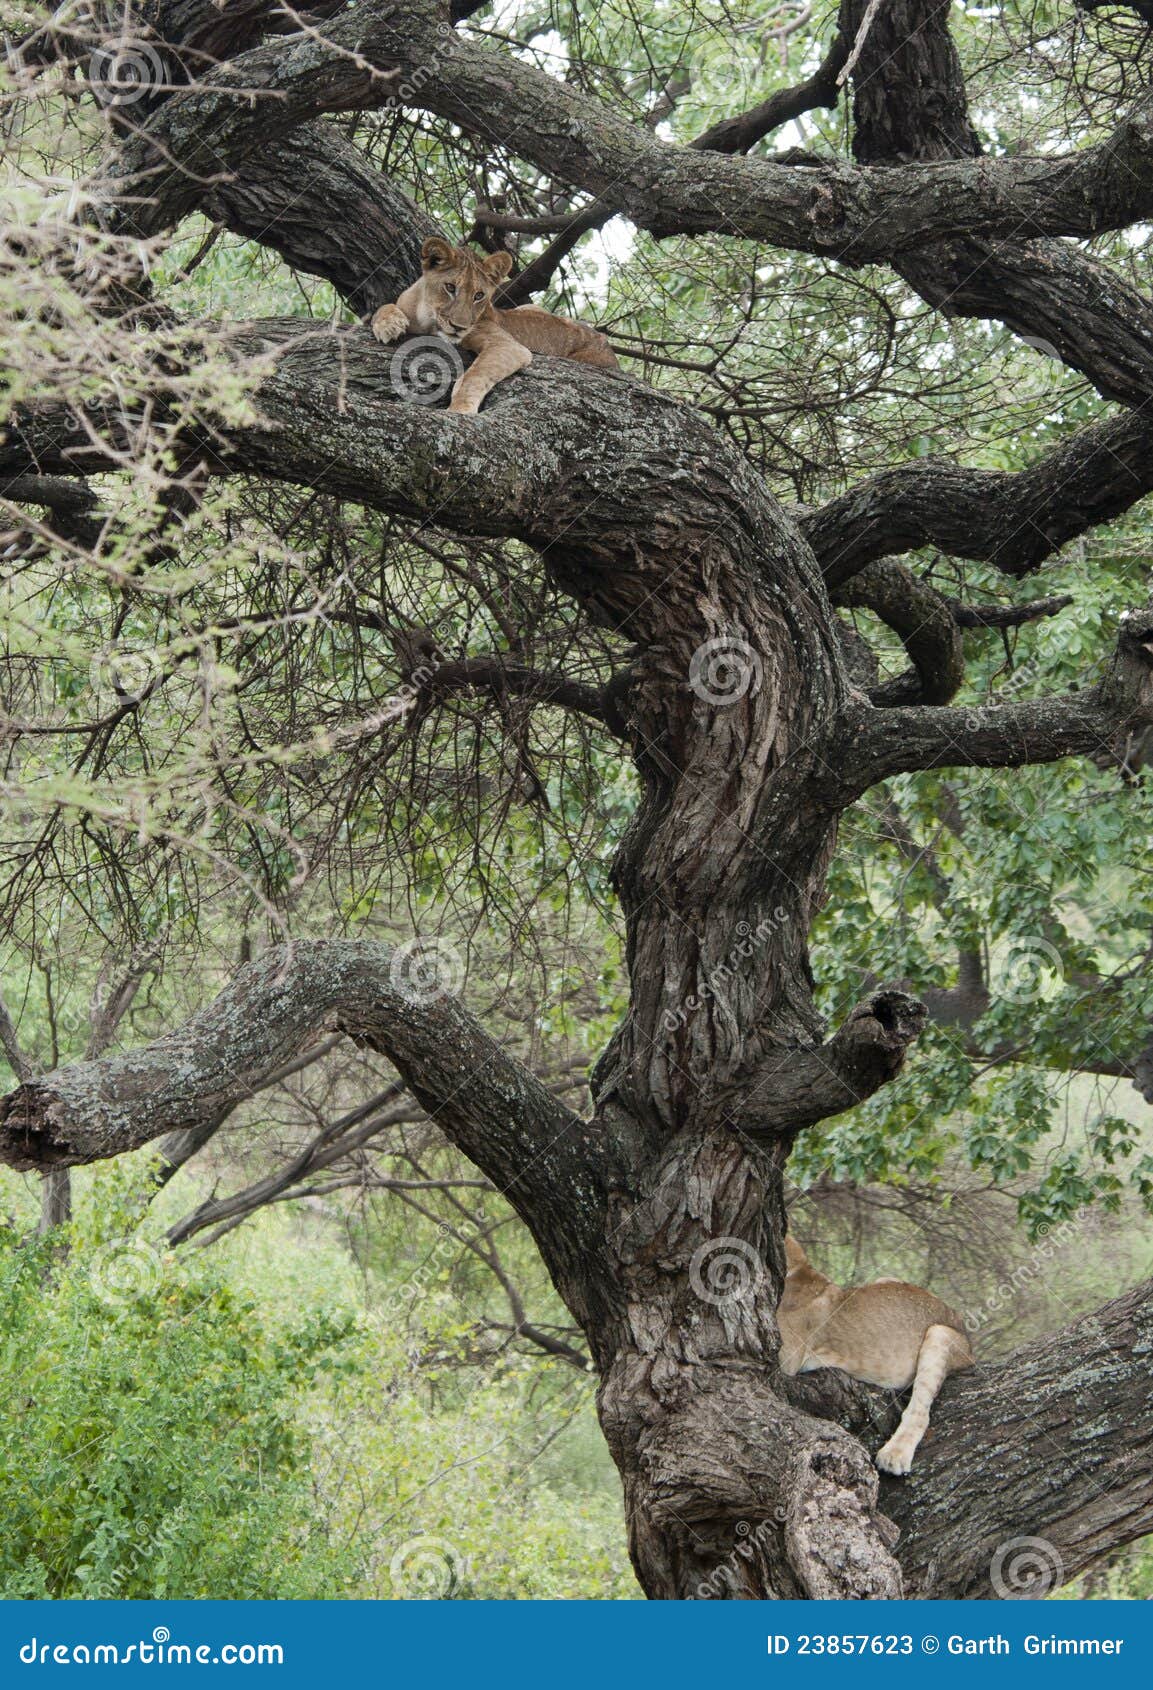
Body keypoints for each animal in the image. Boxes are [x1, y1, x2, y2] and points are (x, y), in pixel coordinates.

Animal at [370, 237, 618, 415]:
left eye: (479, 295)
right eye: (450, 287)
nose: (459, 327)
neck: (428, 319)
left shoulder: (507, 345)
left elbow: (472, 377)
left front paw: (460, 410)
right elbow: (383, 307)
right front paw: (389, 325)